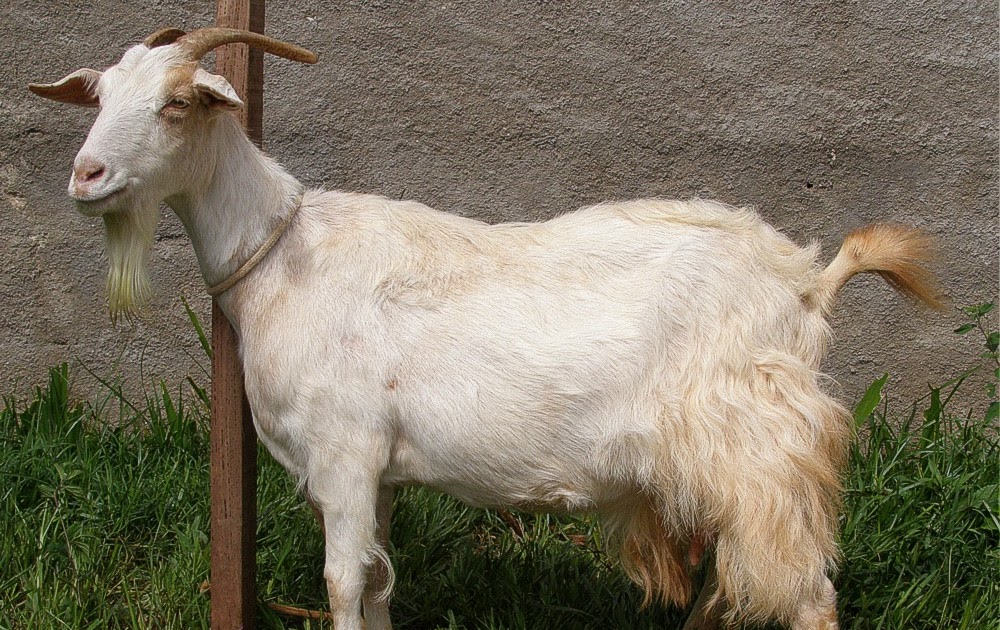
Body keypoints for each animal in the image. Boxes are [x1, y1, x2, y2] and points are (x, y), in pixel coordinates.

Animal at [30, 27, 941, 630]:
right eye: (100, 97)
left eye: (177, 104)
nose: (86, 175)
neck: (284, 255)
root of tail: (808, 282)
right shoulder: (381, 473)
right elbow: (376, 582)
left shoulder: (344, 453)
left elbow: (340, 582)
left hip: (760, 452)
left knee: (807, 592)